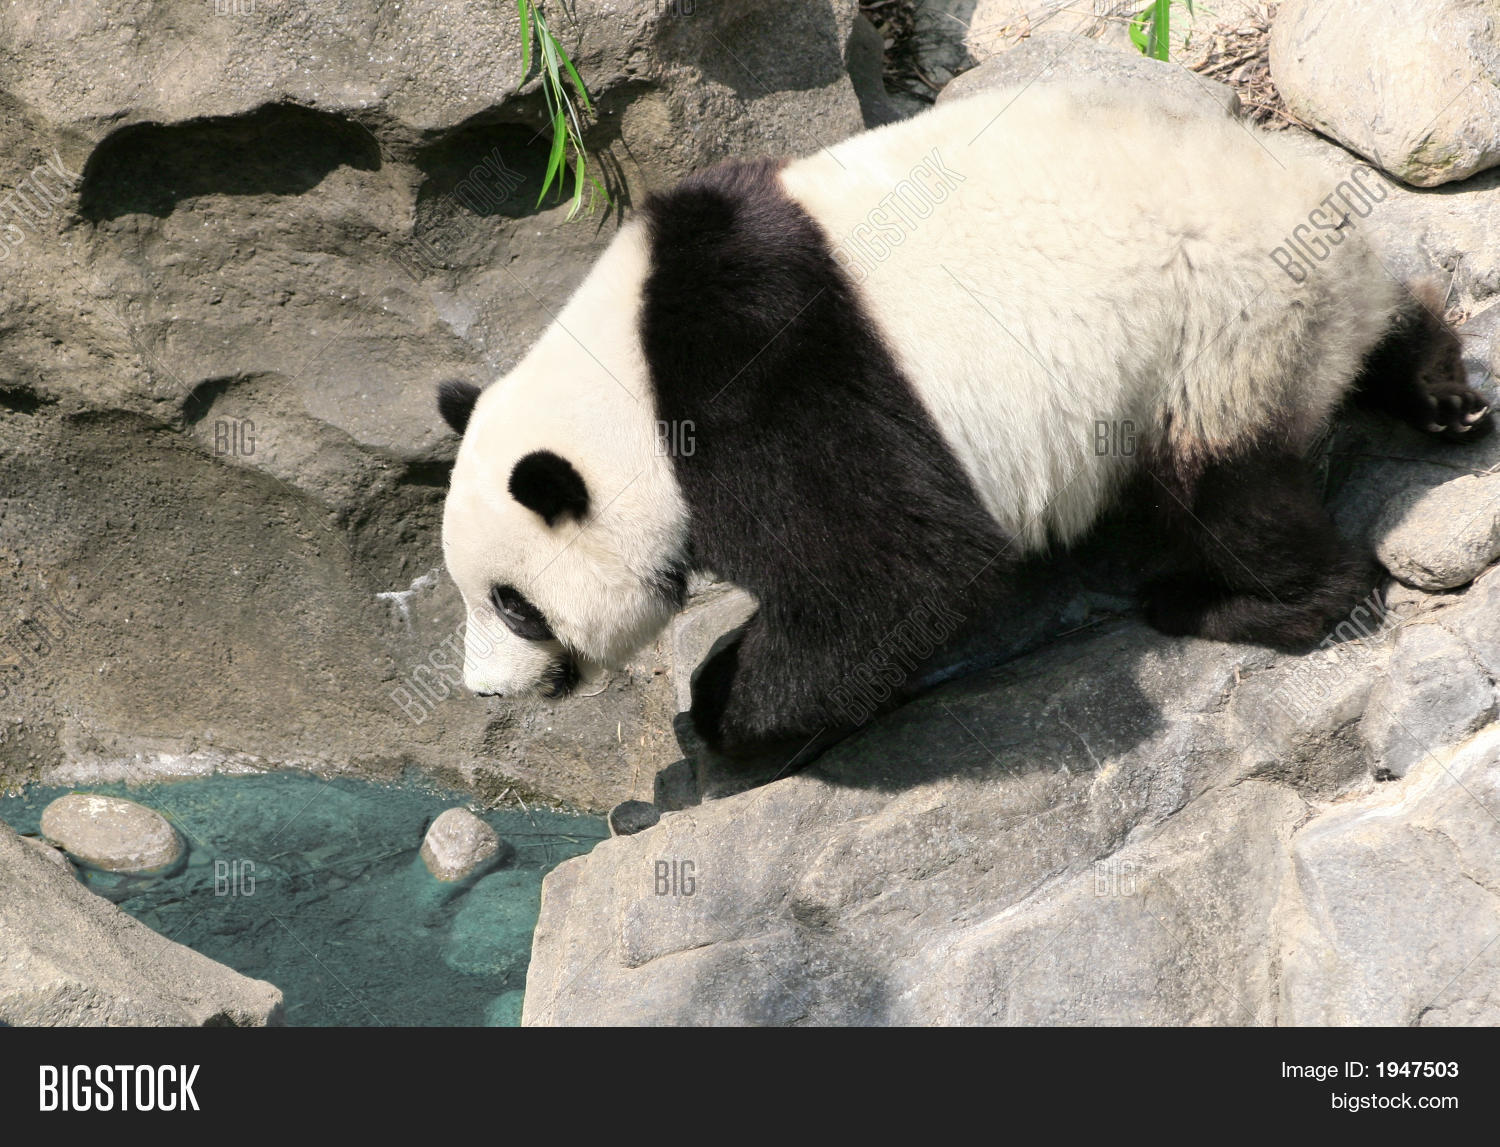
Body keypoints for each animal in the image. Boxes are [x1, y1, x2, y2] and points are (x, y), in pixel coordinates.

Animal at [437, 81, 1490, 761]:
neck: (626, 379)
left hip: (1219, 331)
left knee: (1234, 499)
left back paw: (1228, 601)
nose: (483, 687)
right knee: (1379, 330)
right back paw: (1439, 392)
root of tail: (1322, 219)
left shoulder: (761, 371)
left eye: (513, 603)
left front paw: (731, 708)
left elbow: (902, 570)